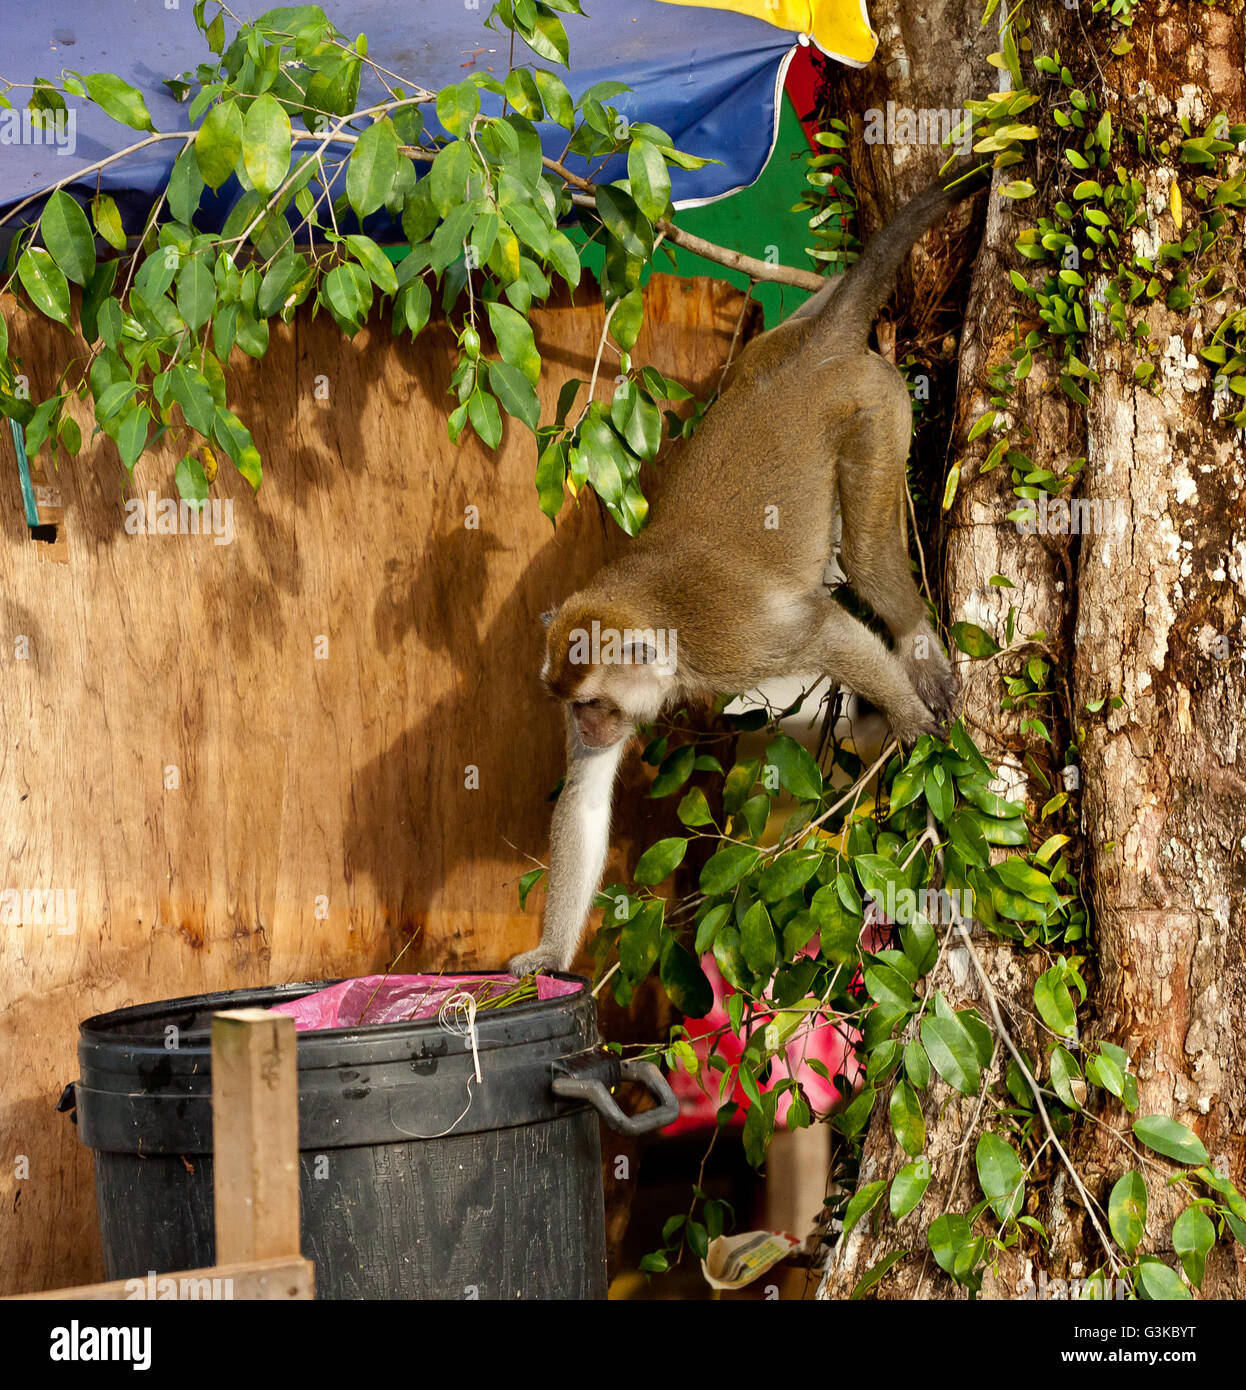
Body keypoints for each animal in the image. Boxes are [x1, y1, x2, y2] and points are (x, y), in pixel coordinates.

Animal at [507, 172, 984, 977]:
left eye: (592, 703)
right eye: (572, 707)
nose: (588, 727)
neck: (660, 630)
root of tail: (816, 352)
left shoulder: (731, 644)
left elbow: (821, 630)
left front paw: (911, 720)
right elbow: (588, 797)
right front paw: (548, 953)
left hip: (875, 406)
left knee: (865, 558)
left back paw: (915, 643)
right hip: (770, 351)